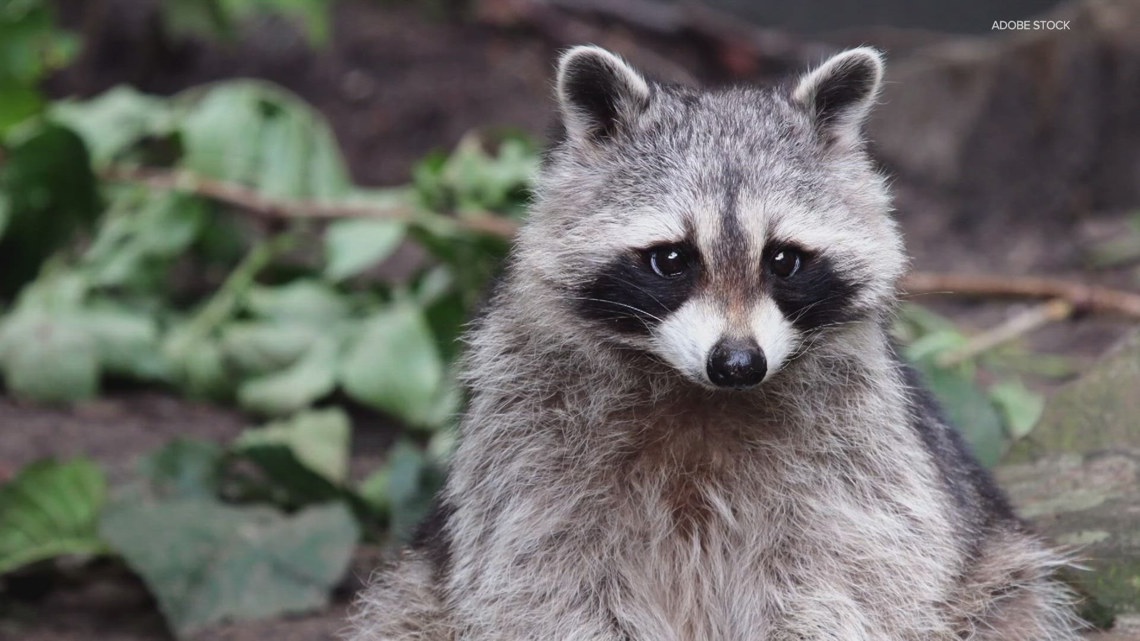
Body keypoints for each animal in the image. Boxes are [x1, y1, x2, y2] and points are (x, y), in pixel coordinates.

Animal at [348, 46, 1082, 641]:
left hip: (997, 569)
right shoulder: (528, 439)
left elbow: (853, 570)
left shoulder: (860, 450)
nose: (737, 363)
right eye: (672, 258)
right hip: (417, 587)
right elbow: (543, 578)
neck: (695, 391)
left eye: (783, 259)